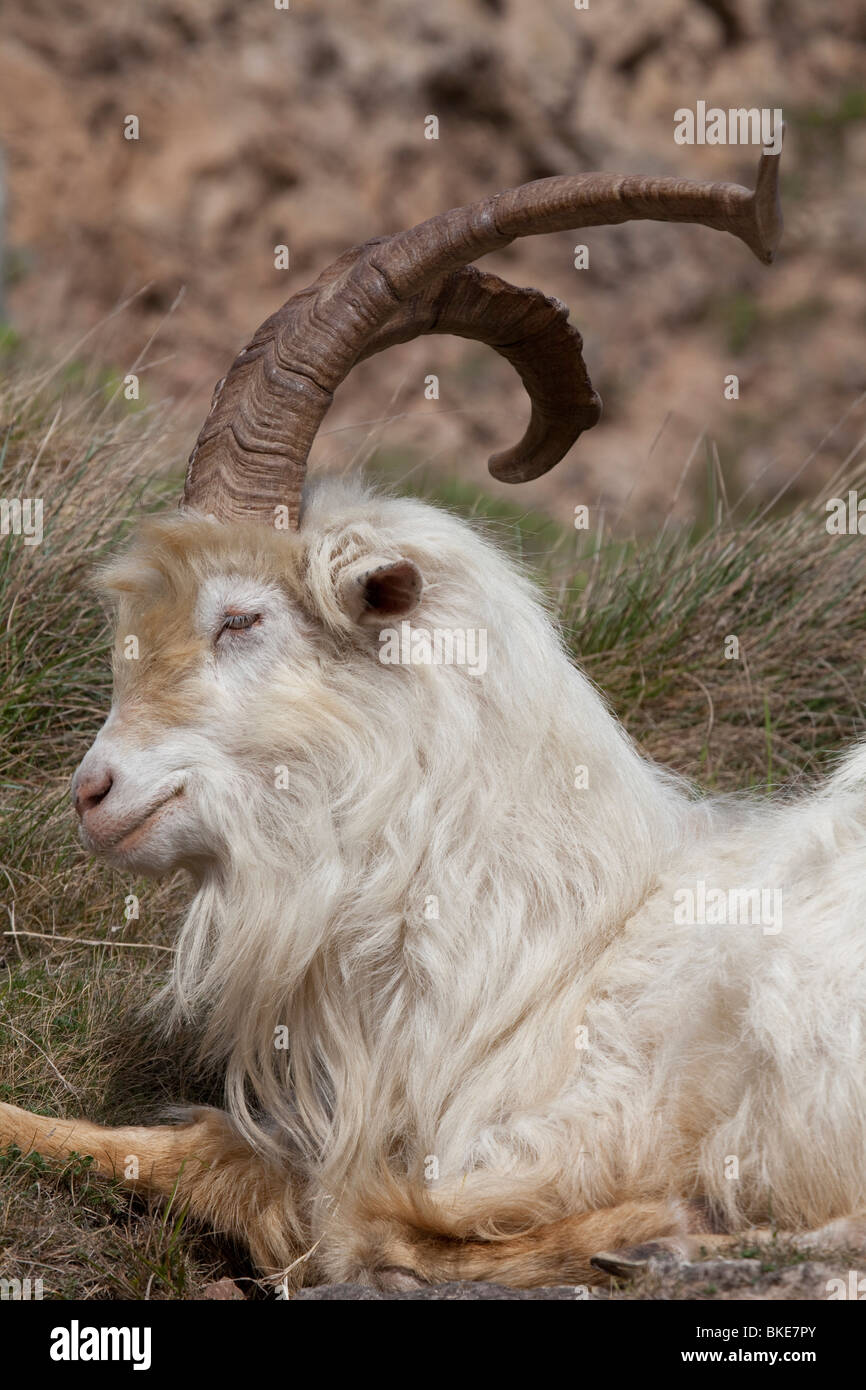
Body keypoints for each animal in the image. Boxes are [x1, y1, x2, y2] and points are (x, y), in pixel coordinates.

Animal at [5, 147, 866, 1292]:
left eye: (240, 617)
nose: (93, 793)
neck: (554, 941)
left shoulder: (556, 1131)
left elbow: (338, 1207)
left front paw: (644, 1225)